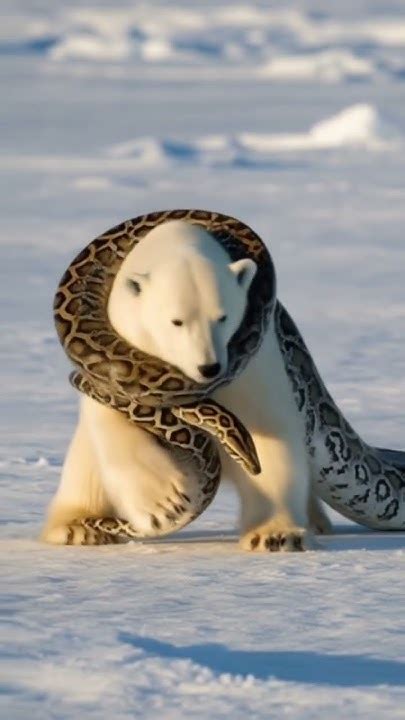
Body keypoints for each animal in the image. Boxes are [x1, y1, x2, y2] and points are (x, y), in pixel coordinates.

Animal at [42, 220, 330, 550]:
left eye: (223, 317)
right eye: (176, 321)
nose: (209, 367)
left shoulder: (254, 360)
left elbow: (270, 430)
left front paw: (275, 532)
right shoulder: (113, 358)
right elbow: (112, 420)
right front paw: (163, 501)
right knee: (85, 467)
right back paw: (76, 525)